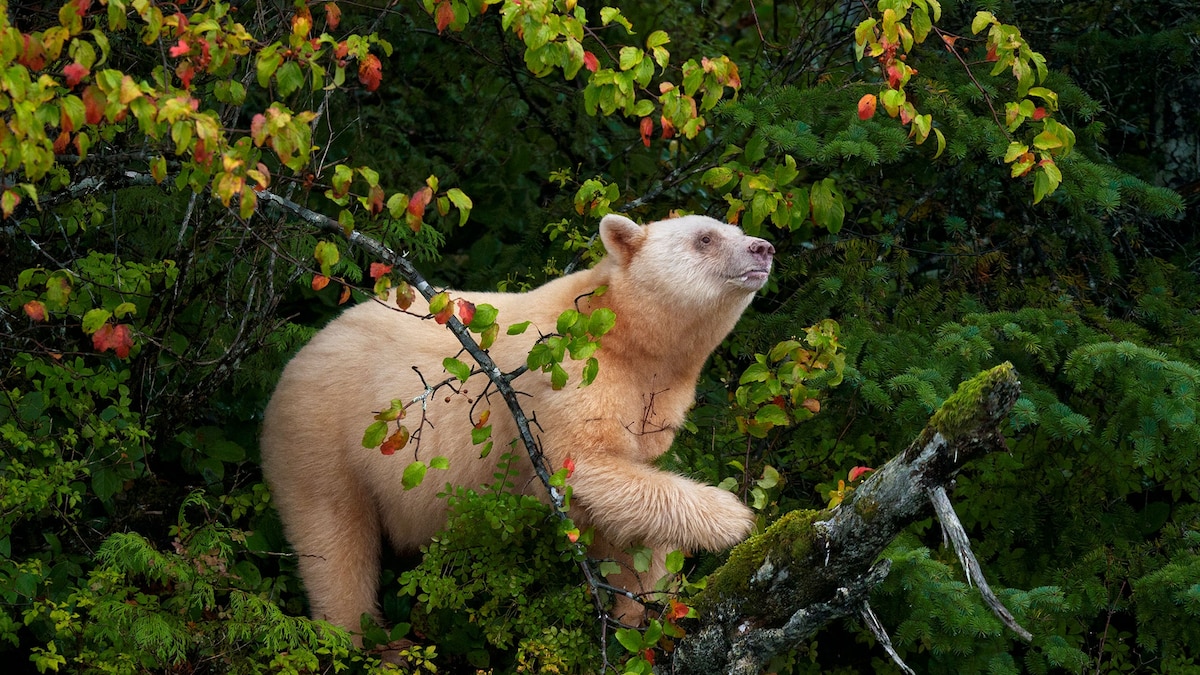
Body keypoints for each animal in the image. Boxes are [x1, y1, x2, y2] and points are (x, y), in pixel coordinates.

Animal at [260, 213, 774, 635]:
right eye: (705, 237)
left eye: (736, 229)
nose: (763, 248)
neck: (623, 334)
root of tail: (295, 361)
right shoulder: (568, 376)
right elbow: (587, 466)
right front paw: (734, 518)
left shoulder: (652, 402)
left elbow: (626, 509)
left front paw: (642, 605)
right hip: (324, 438)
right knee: (335, 545)